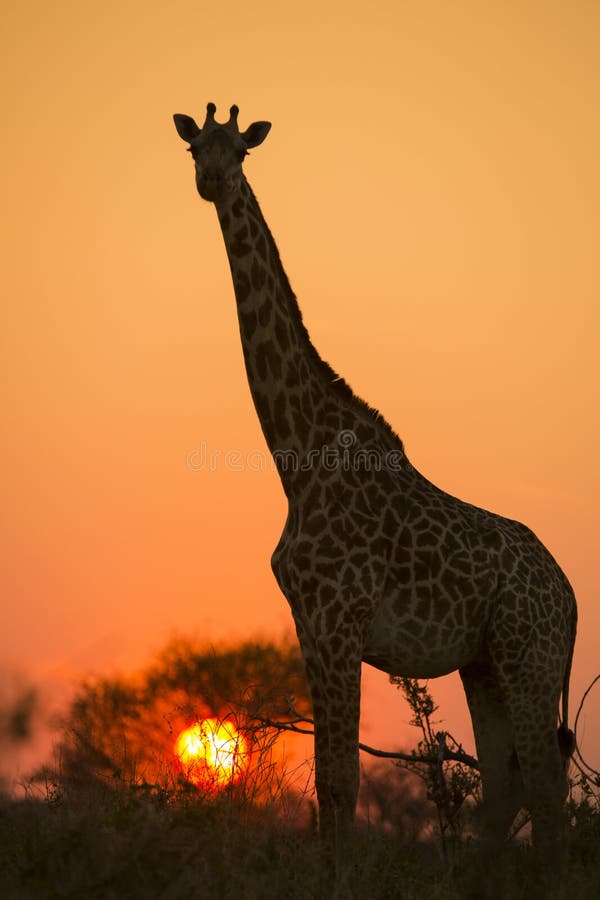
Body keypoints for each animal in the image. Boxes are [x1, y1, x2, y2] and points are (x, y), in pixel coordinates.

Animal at [173, 103, 577, 898]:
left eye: (240, 151)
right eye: (194, 147)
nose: (212, 181)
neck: (295, 456)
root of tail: (571, 597)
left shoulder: (339, 619)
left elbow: (342, 779)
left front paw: (340, 884)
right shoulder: (309, 622)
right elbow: (330, 778)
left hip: (531, 656)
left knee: (546, 784)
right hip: (484, 664)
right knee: (508, 783)